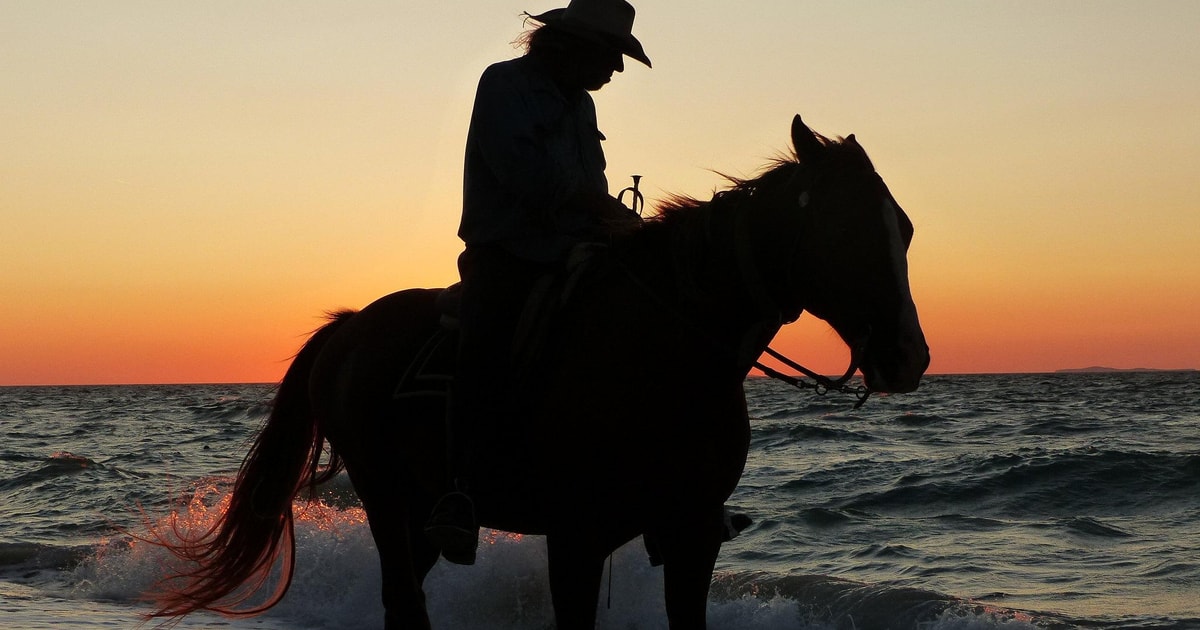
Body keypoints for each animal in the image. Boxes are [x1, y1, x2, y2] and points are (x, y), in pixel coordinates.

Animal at [145, 115, 930, 629]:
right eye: (844, 229)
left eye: (906, 227)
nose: (908, 356)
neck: (666, 352)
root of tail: (348, 328)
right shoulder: (576, 540)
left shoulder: (692, 534)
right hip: (385, 496)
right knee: (404, 601)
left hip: (420, 514)